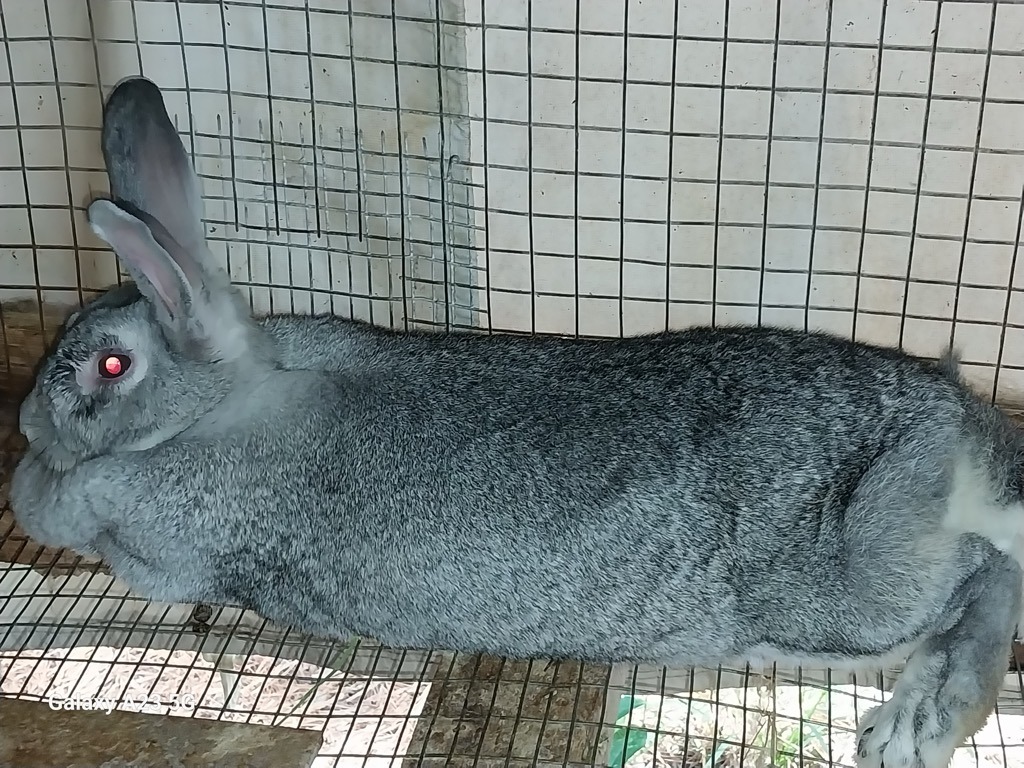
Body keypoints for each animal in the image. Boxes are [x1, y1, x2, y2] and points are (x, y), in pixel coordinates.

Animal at [10, 75, 1024, 768]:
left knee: (985, 575)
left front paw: (36, 492)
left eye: (107, 365)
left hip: (850, 589)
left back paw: (914, 725)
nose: (23, 421)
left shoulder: (161, 539)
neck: (225, 398)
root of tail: (960, 428)